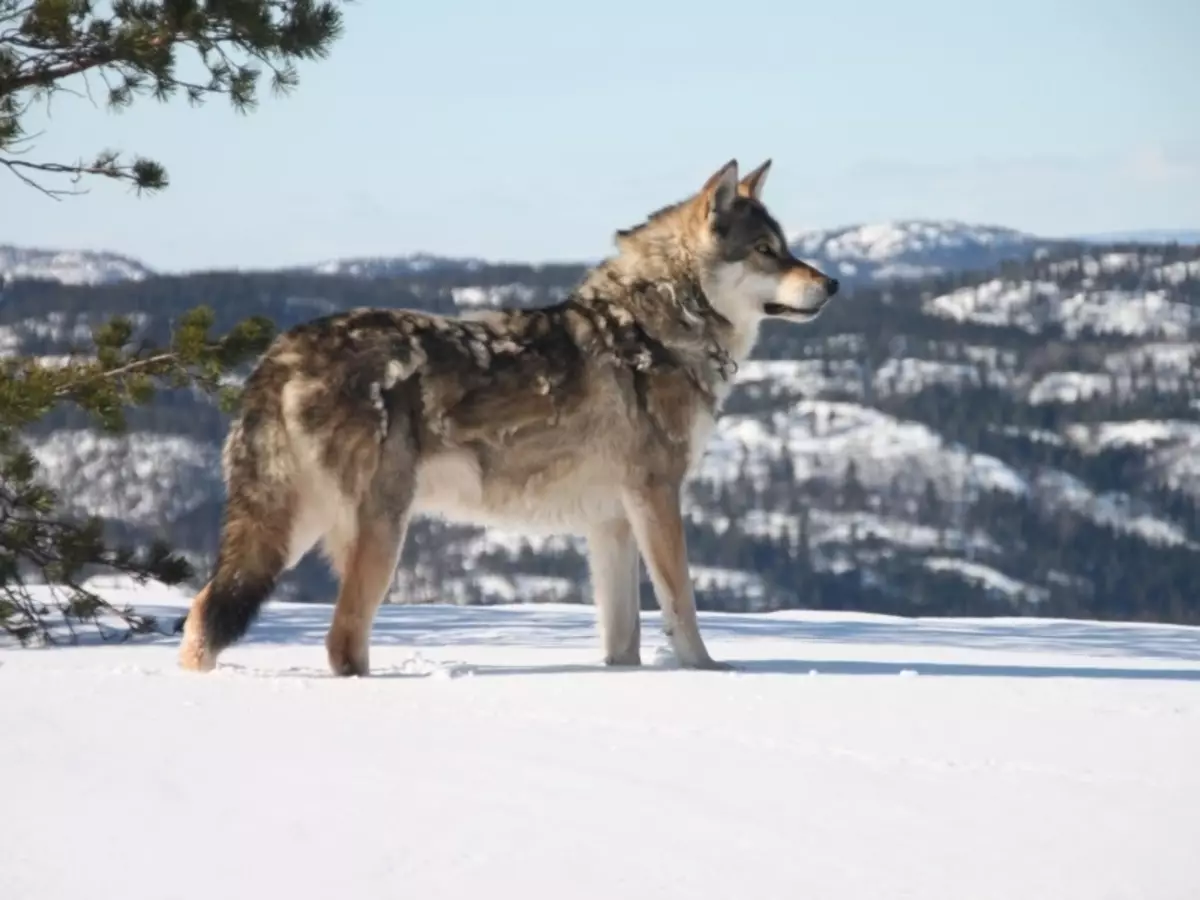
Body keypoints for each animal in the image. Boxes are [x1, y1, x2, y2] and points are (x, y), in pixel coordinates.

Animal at [182, 157, 844, 676]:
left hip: (296, 527)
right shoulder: (656, 496)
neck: (659, 325)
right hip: (377, 529)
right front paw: (709, 673)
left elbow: (623, 641)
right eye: (766, 252)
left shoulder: (611, 522)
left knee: (204, 613)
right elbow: (682, 605)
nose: (834, 284)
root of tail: (281, 350)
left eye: (787, 248)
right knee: (340, 640)